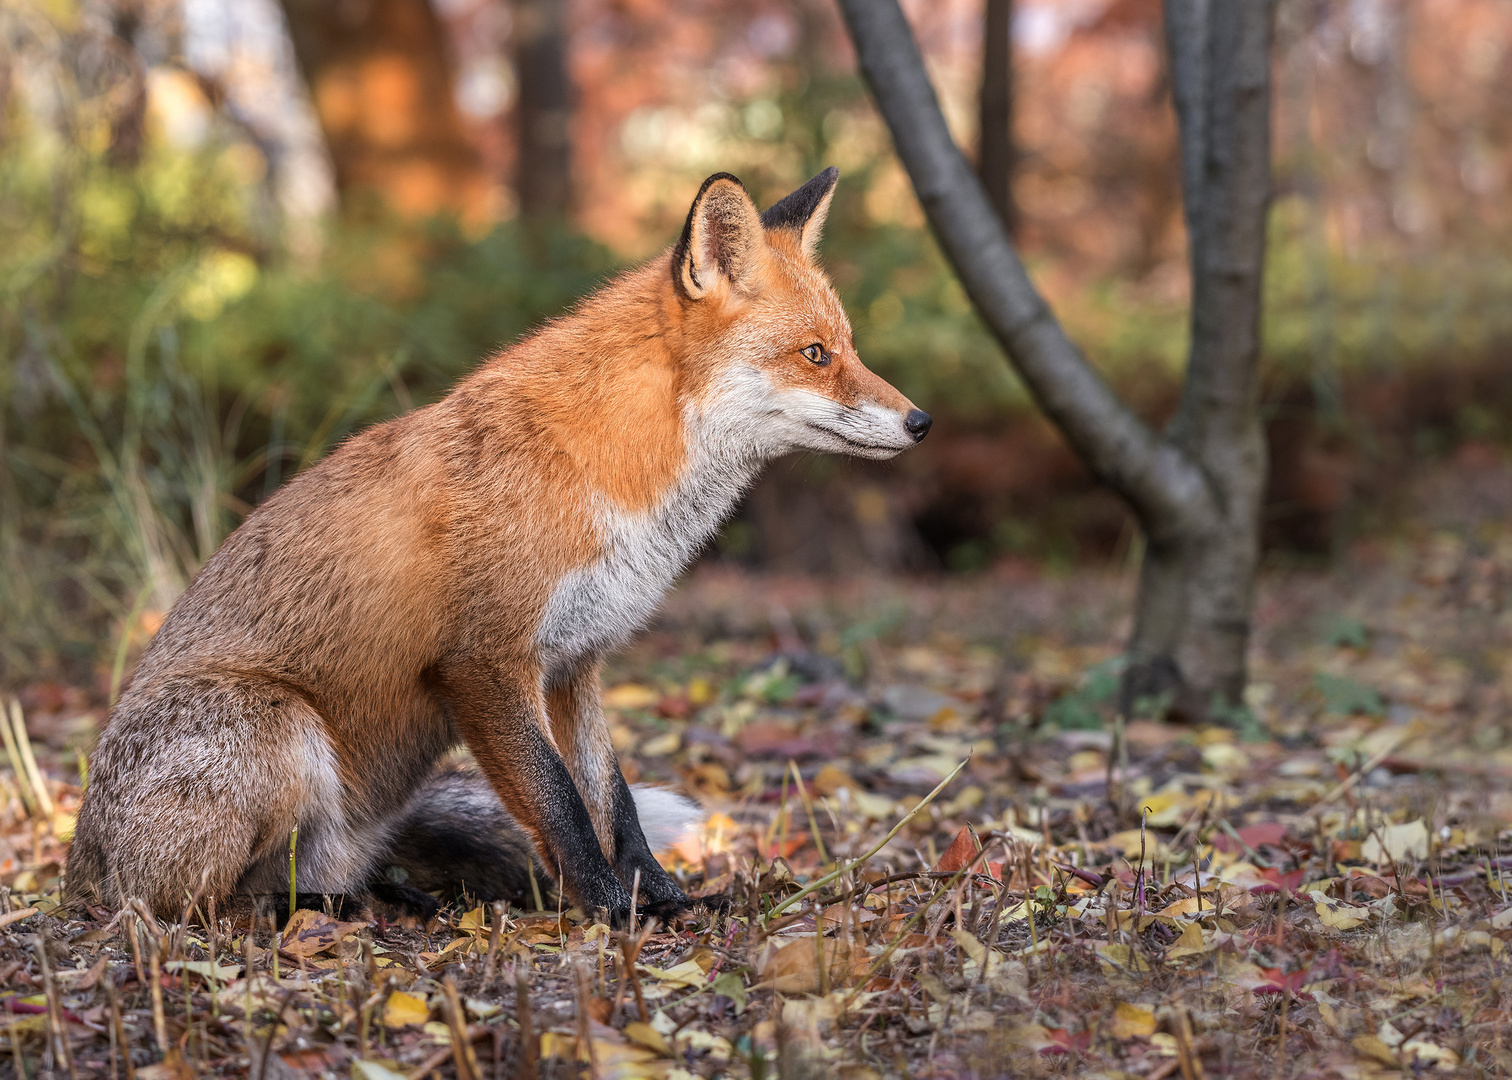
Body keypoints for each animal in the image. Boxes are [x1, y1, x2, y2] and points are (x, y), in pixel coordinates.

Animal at [71, 167, 931, 925]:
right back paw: (322, 911)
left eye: (849, 347)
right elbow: (561, 803)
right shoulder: (483, 661)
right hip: (276, 725)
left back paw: (386, 897)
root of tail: (78, 866)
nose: (922, 422)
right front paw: (613, 912)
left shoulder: (577, 661)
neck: (606, 472)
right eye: (816, 354)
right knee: (196, 905)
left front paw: (665, 898)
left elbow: (614, 801)